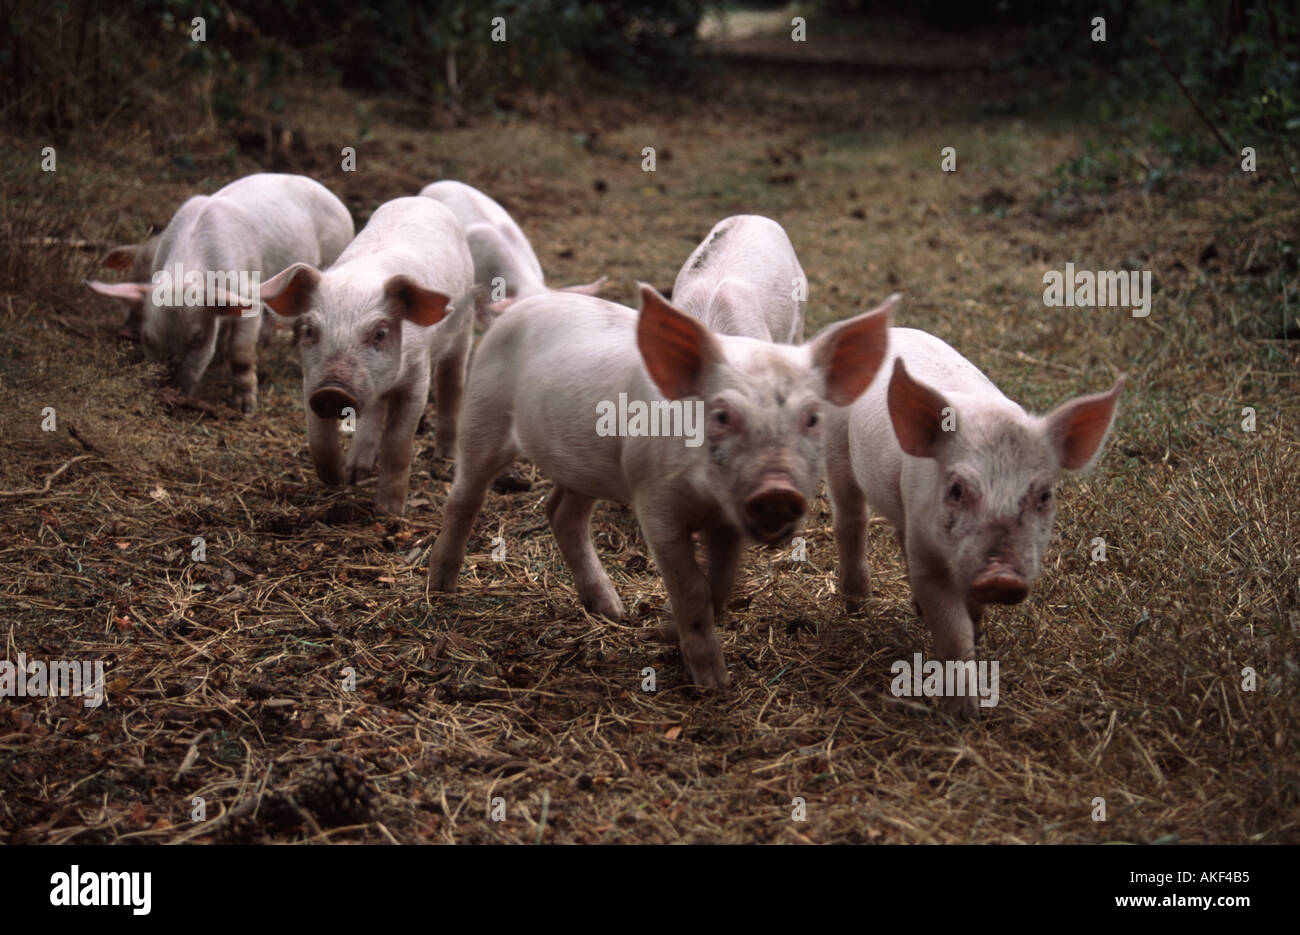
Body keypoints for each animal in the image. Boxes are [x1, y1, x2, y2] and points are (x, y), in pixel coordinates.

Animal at [85, 174, 354, 413]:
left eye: (198, 340)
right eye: (148, 339)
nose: (166, 396)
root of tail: (336, 200)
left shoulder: (246, 293)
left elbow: (241, 350)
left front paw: (244, 407)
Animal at [256, 196, 475, 515]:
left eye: (381, 333)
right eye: (309, 330)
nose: (333, 390)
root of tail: (421, 199)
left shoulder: (418, 376)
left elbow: (397, 442)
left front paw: (389, 512)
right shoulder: (311, 380)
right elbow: (318, 439)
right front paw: (338, 481)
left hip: (463, 330)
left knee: (453, 382)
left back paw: (445, 456)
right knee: (376, 408)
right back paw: (357, 470)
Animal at [427, 285, 896, 688]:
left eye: (813, 418)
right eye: (723, 415)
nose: (778, 490)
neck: (706, 498)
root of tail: (518, 309)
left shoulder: (725, 521)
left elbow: (721, 583)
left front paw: (665, 633)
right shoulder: (653, 499)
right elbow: (691, 585)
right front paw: (713, 684)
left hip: (586, 463)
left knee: (561, 513)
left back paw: (613, 611)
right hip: (483, 414)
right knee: (463, 497)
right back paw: (441, 588)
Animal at [824, 326, 1124, 715]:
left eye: (1044, 495)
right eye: (956, 489)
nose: (1001, 576)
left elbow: (971, 612)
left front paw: (976, 634)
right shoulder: (929, 561)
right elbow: (952, 632)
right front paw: (964, 713)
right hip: (836, 450)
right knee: (850, 520)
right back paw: (858, 607)